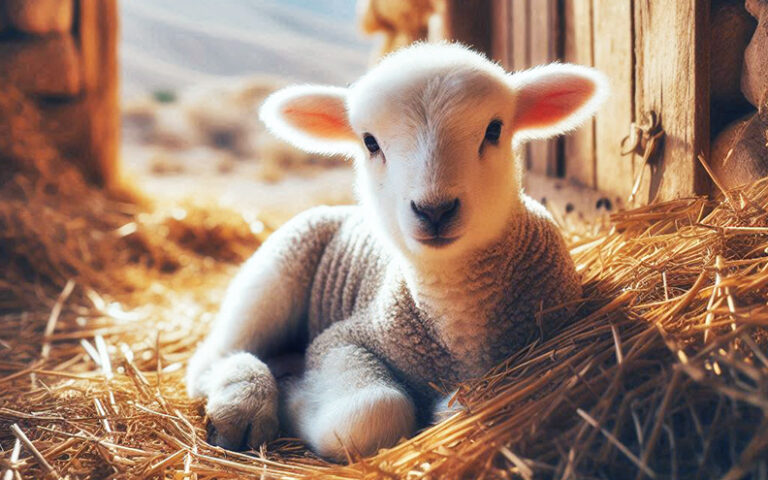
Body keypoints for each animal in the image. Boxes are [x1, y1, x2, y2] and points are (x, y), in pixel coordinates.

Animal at [186, 42, 608, 461]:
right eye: (370, 142)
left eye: (494, 130)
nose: (435, 210)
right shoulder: (341, 339)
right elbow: (374, 412)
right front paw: (294, 392)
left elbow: (459, 403)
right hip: (275, 272)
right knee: (213, 357)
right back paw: (244, 402)